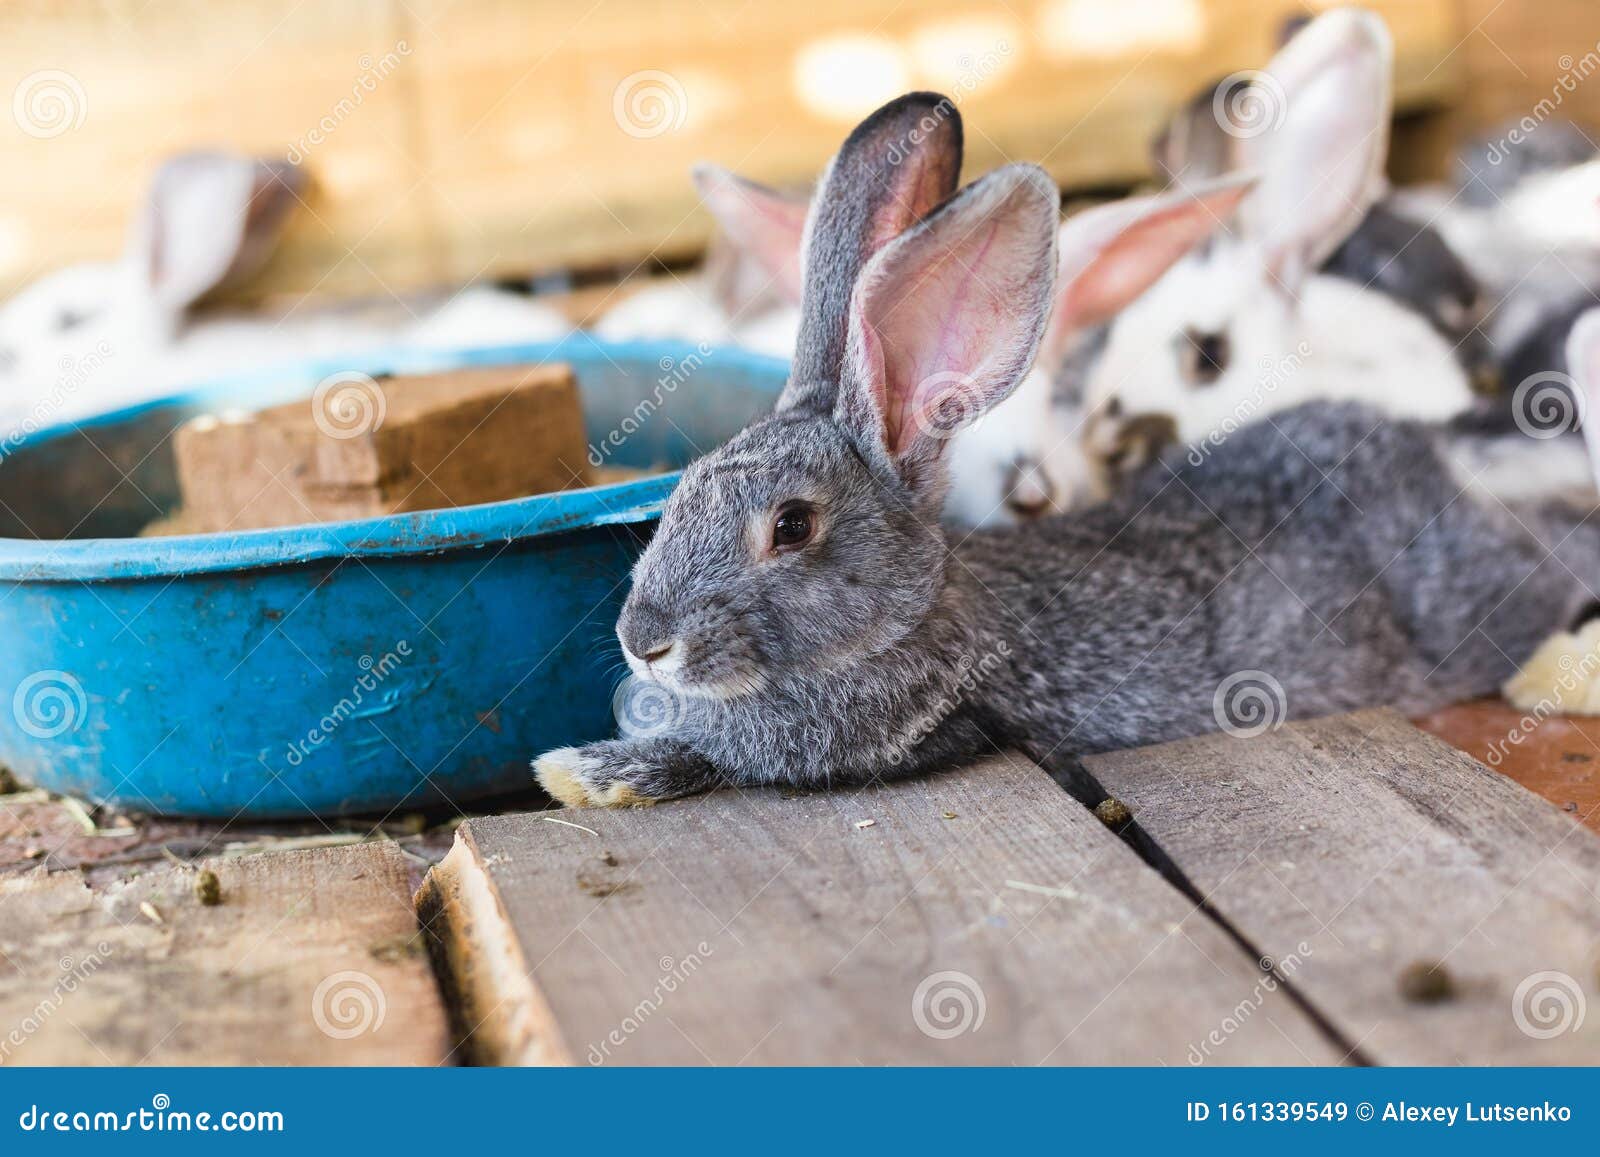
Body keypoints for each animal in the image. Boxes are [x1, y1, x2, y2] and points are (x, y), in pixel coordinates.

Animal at [531, 92, 1600, 808]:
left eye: (791, 527)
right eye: (680, 492)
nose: (643, 641)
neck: (916, 616)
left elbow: (714, 759)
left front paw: (581, 772)